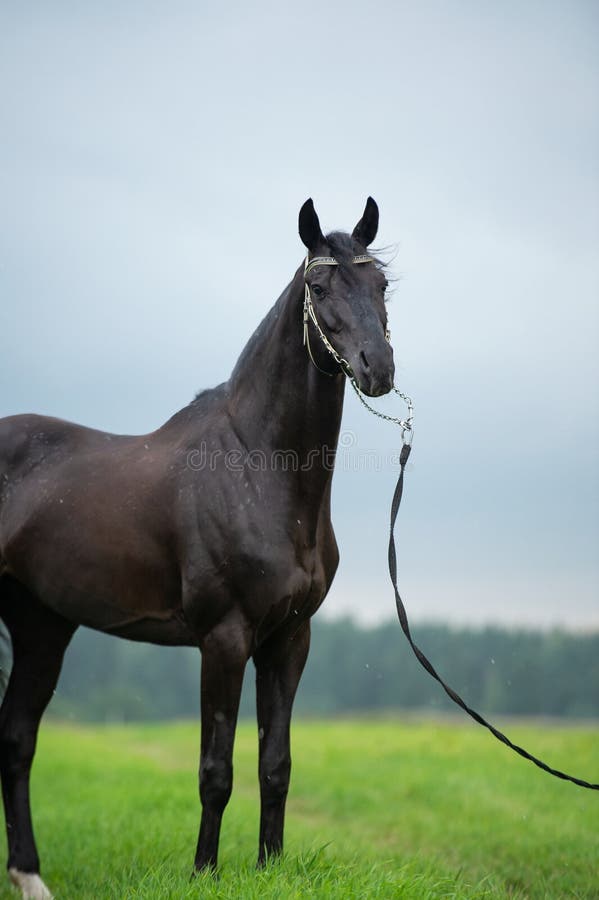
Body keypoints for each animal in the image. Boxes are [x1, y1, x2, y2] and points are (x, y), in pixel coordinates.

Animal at [0, 197, 394, 898]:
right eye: (320, 287)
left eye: (382, 284)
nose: (379, 367)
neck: (259, 469)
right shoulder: (224, 637)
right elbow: (217, 769)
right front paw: (205, 870)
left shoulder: (289, 640)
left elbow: (275, 764)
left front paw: (270, 865)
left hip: (41, 624)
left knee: (17, 739)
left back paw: (31, 878)